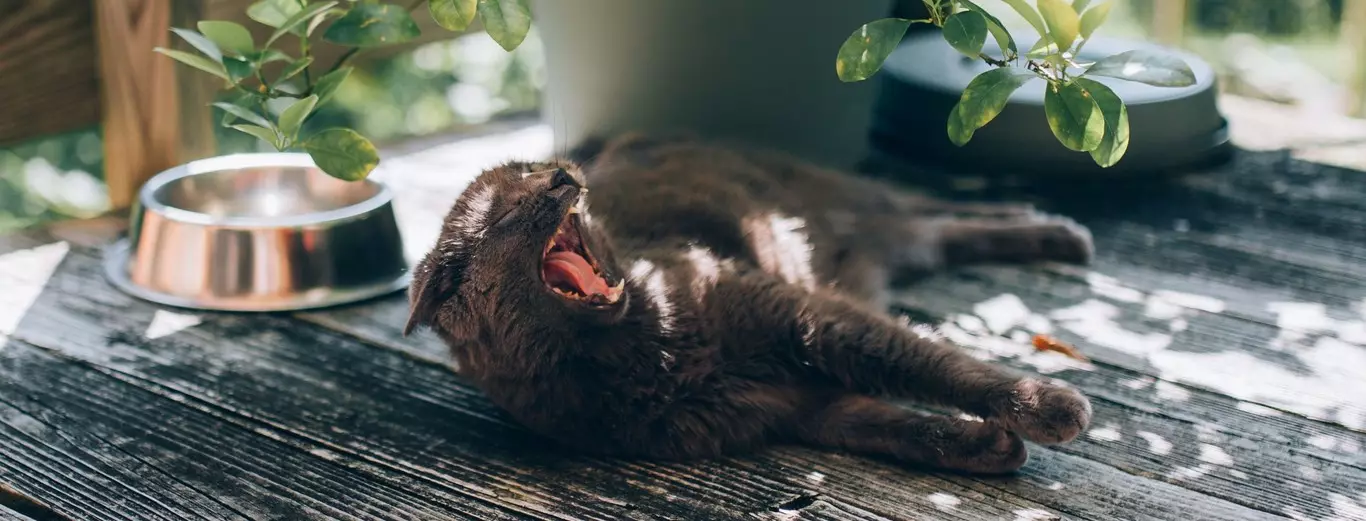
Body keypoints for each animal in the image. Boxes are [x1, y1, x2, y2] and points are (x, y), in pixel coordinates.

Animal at [398, 131, 1092, 473]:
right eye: (508, 210)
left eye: (538, 169)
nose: (563, 176)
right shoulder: (788, 410)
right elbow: (888, 428)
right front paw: (988, 448)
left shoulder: (810, 318)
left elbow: (928, 363)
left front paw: (1046, 407)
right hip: (888, 235)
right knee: (938, 229)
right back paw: (1051, 229)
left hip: (850, 205)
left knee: (933, 208)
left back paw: (1055, 228)